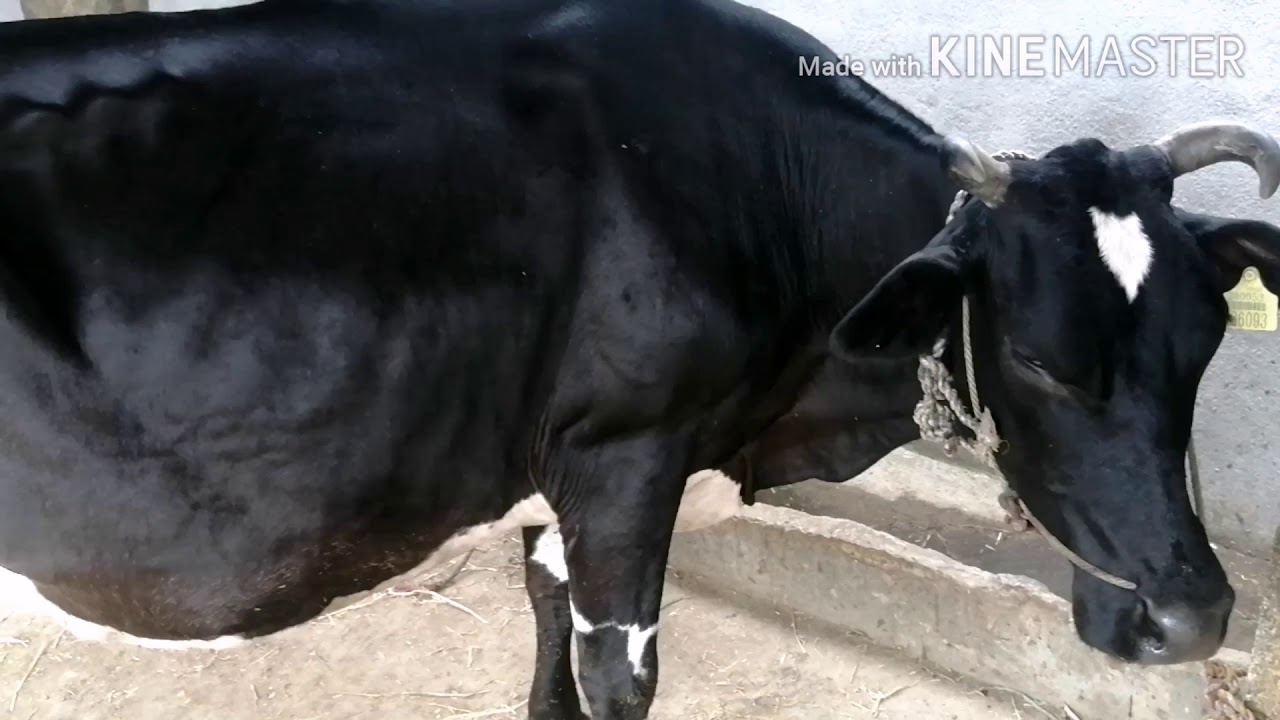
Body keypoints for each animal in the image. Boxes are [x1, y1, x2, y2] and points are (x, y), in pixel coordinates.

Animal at [2, 0, 1280, 718]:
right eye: (1035, 356)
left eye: (1203, 346)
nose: (1189, 619)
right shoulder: (624, 455)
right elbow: (618, 677)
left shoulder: (550, 479)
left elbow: (544, 642)